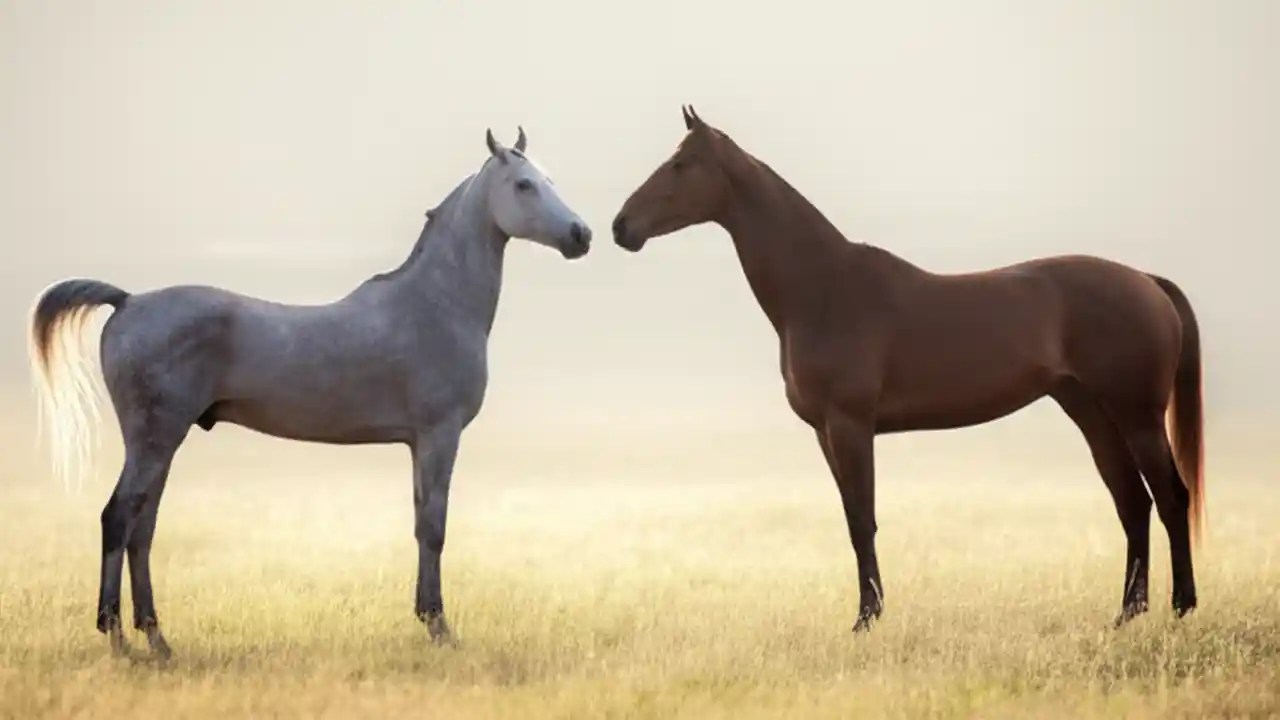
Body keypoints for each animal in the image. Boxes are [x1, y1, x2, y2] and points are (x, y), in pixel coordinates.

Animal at [29, 128, 592, 657]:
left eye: (549, 180)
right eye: (524, 184)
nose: (581, 234)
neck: (436, 304)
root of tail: (127, 301)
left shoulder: (418, 443)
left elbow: (419, 524)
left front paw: (425, 618)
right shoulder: (439, 436)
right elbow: (434, 528)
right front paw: (439, 628)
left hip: (160, 445)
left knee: (141, 530)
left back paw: (156, 639)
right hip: (154, 440)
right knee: (119, 518)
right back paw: (118, 637)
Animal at [611, 106, 1204, 632]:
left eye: (681, 164)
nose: (621, 227)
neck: (822, 289)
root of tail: (1147, 282)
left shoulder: (850, 425)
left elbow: (862, 521)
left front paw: (866, 619)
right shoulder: (825, 433)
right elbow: (853, 520)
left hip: (1137, 417)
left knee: (1171, 497)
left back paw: (1182, 606)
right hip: (1092, 414)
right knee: (1133, 503)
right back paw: (1127, 613)